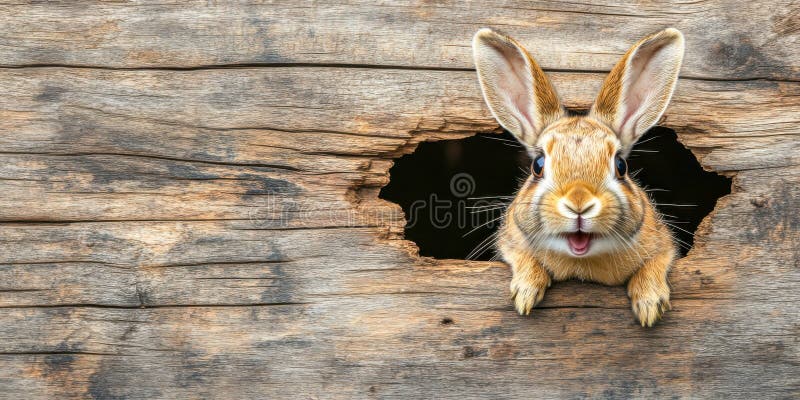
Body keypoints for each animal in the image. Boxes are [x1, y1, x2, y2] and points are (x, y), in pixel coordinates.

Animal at [472, 28, 685, 327]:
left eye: (621, 165)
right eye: (538, 165)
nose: (579, 203)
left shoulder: (662, 245)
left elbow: (657, 262)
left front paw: (649, 305)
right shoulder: (511, 241)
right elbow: (521, 257)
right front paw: (525, 294)